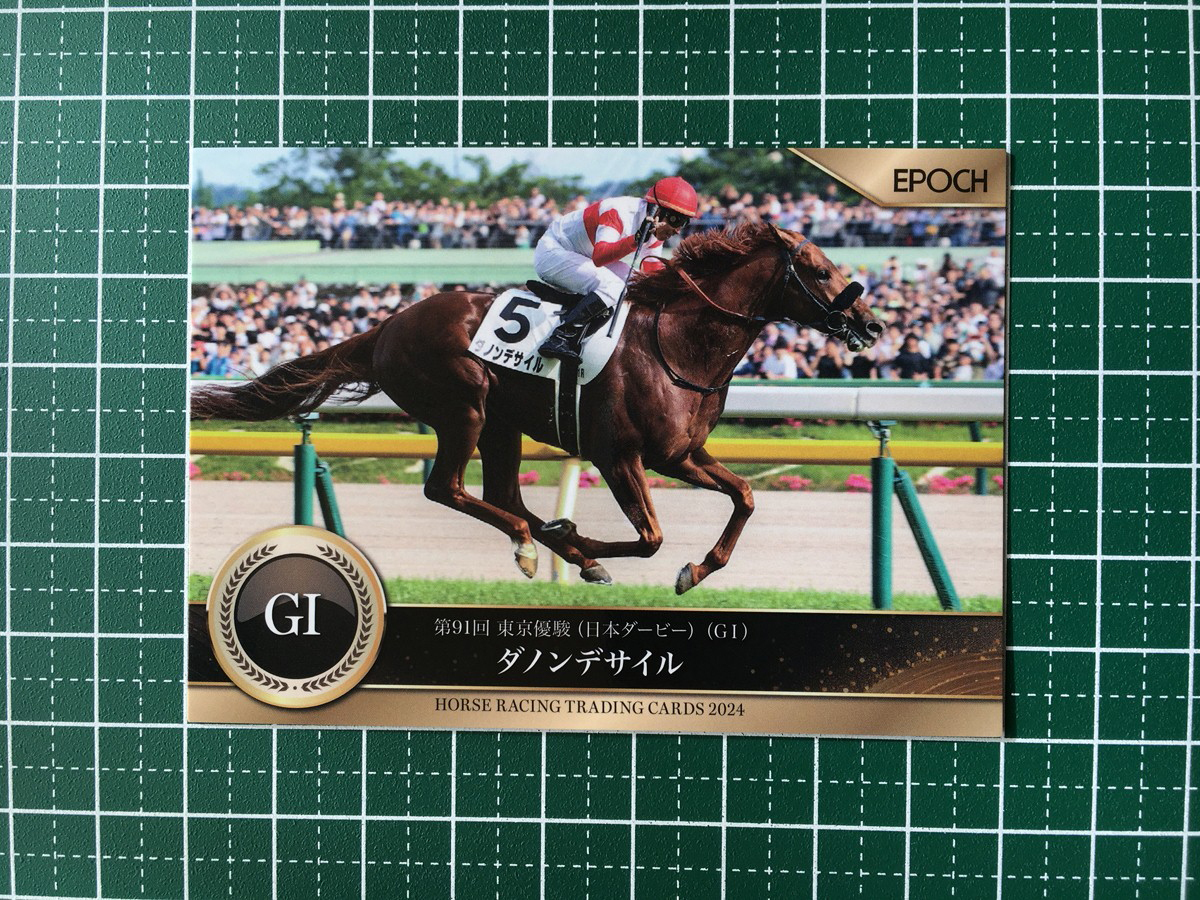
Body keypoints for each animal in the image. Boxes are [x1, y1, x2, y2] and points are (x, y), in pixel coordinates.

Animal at [192, 222, 883, 594]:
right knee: (448, 489)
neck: (680, 342)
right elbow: (651, 538)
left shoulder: (682, 453)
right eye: (821, 271)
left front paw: (698, 567)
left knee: (503, 494)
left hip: (501, 424)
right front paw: (585, 543)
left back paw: (555, 540)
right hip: (463, 410)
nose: (872, 325)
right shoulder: (620, 455)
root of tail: (386, 325)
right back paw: (537, 543)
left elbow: (744, 495)